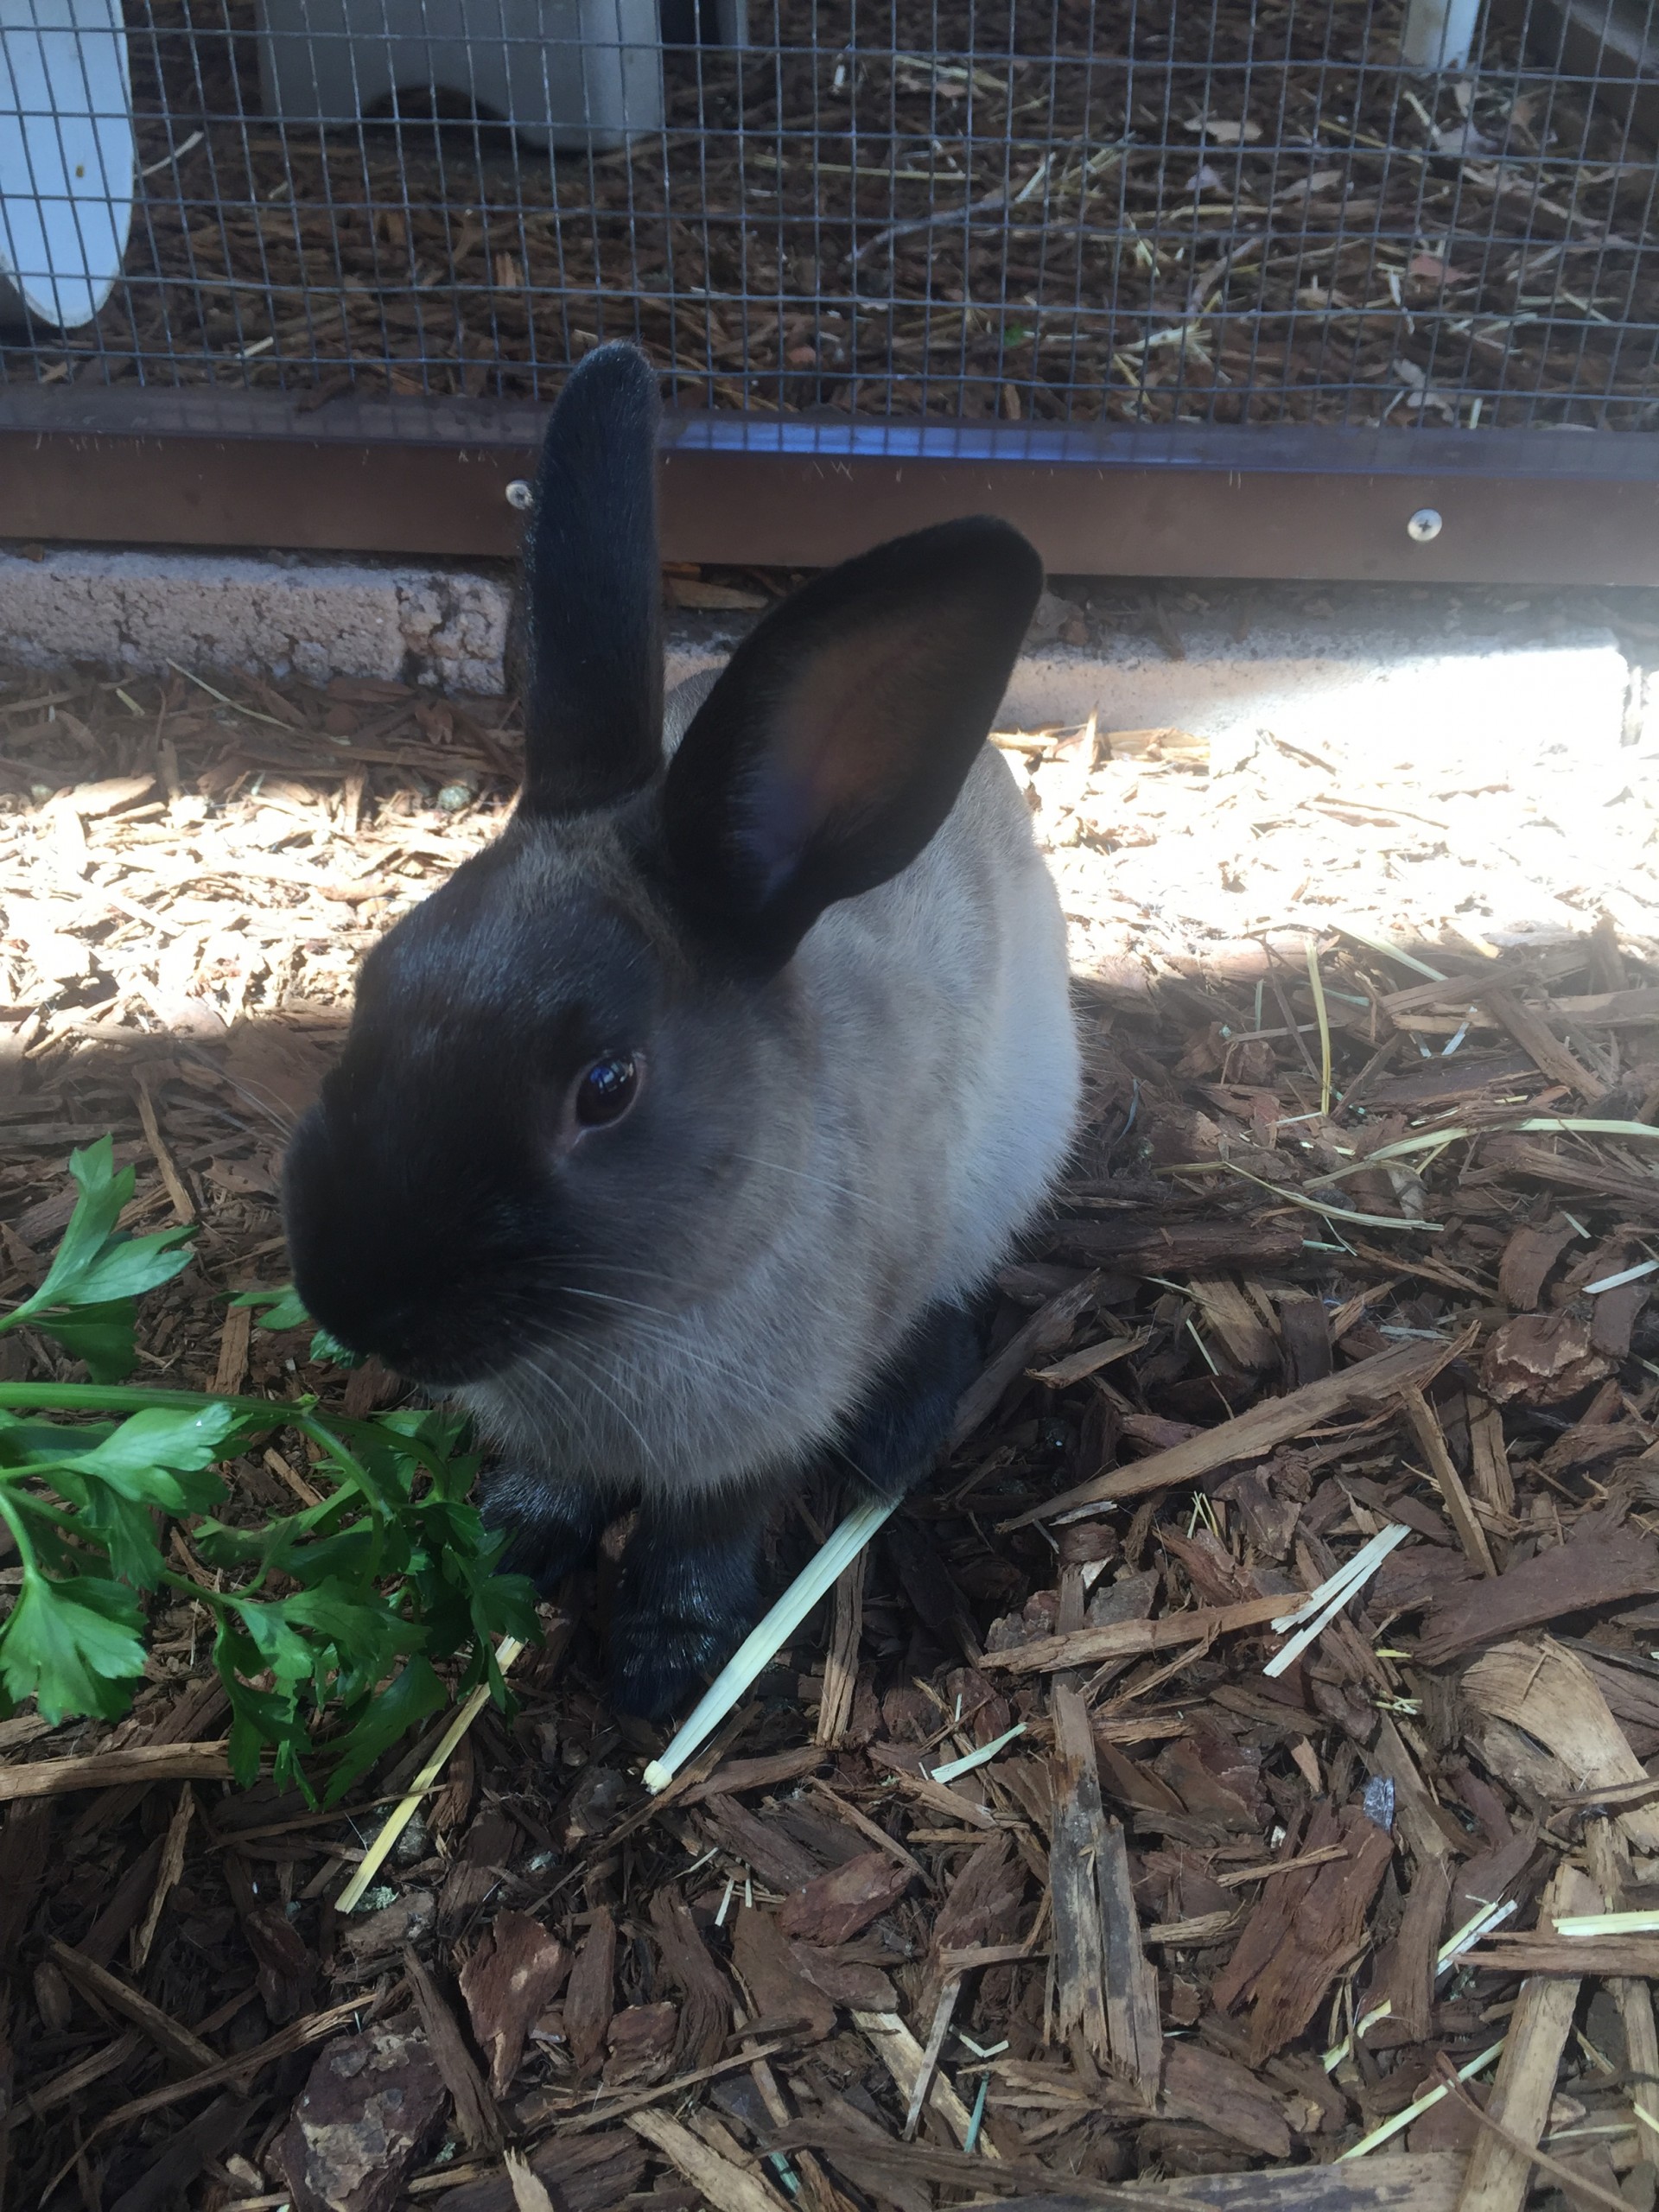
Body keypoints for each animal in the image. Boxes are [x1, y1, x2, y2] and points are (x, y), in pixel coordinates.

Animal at [282, 341, 1081, 1721]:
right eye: (377, 975)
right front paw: (504, 1548)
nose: (356, 1303)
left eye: (607, 1085)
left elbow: (705, 1538)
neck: (625, 1323)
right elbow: (546, 1490)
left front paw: (665, 1669)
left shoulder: (751, 1442)